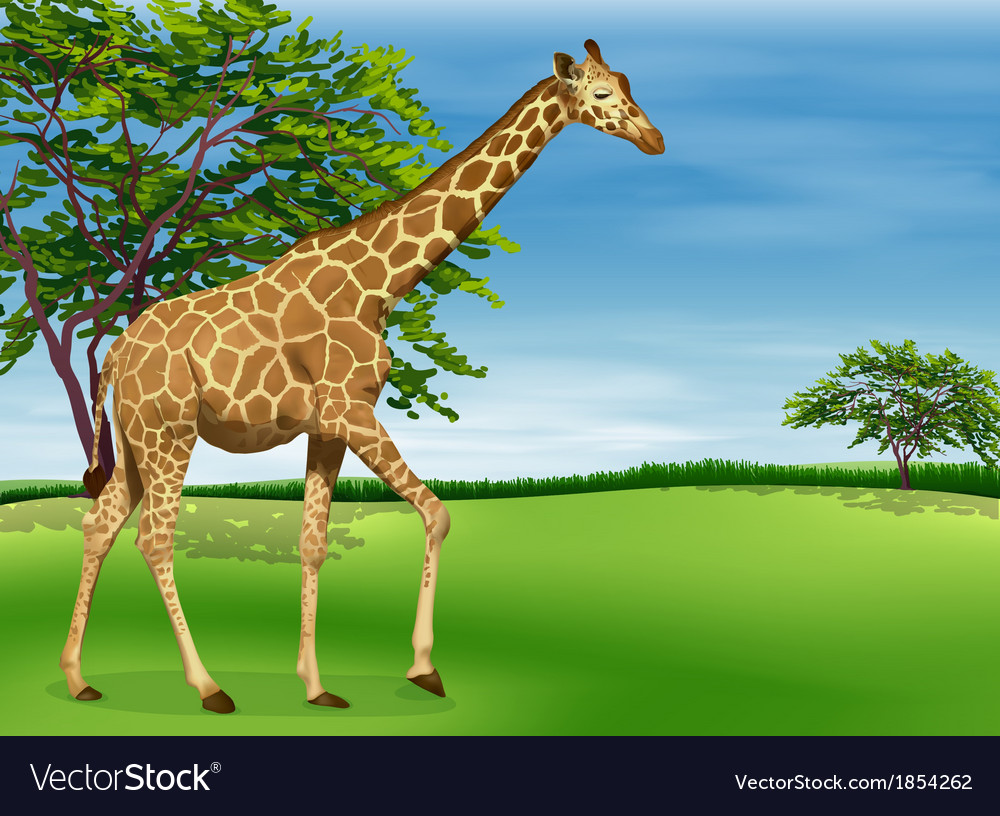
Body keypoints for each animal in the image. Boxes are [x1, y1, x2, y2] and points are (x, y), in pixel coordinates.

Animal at [60, 39, 664, 713]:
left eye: (629, 83)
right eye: (603, 93)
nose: (655, 138)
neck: (381, 283)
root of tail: (117, 352)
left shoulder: (325, 426)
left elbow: (313, 544)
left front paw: (317, 684)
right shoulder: (353, 408)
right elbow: (437, 513)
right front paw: (424, 668)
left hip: (136, 439)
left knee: (100, 523)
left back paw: (79, 678)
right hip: (170, 431)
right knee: (154, 537)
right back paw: (208, 687)